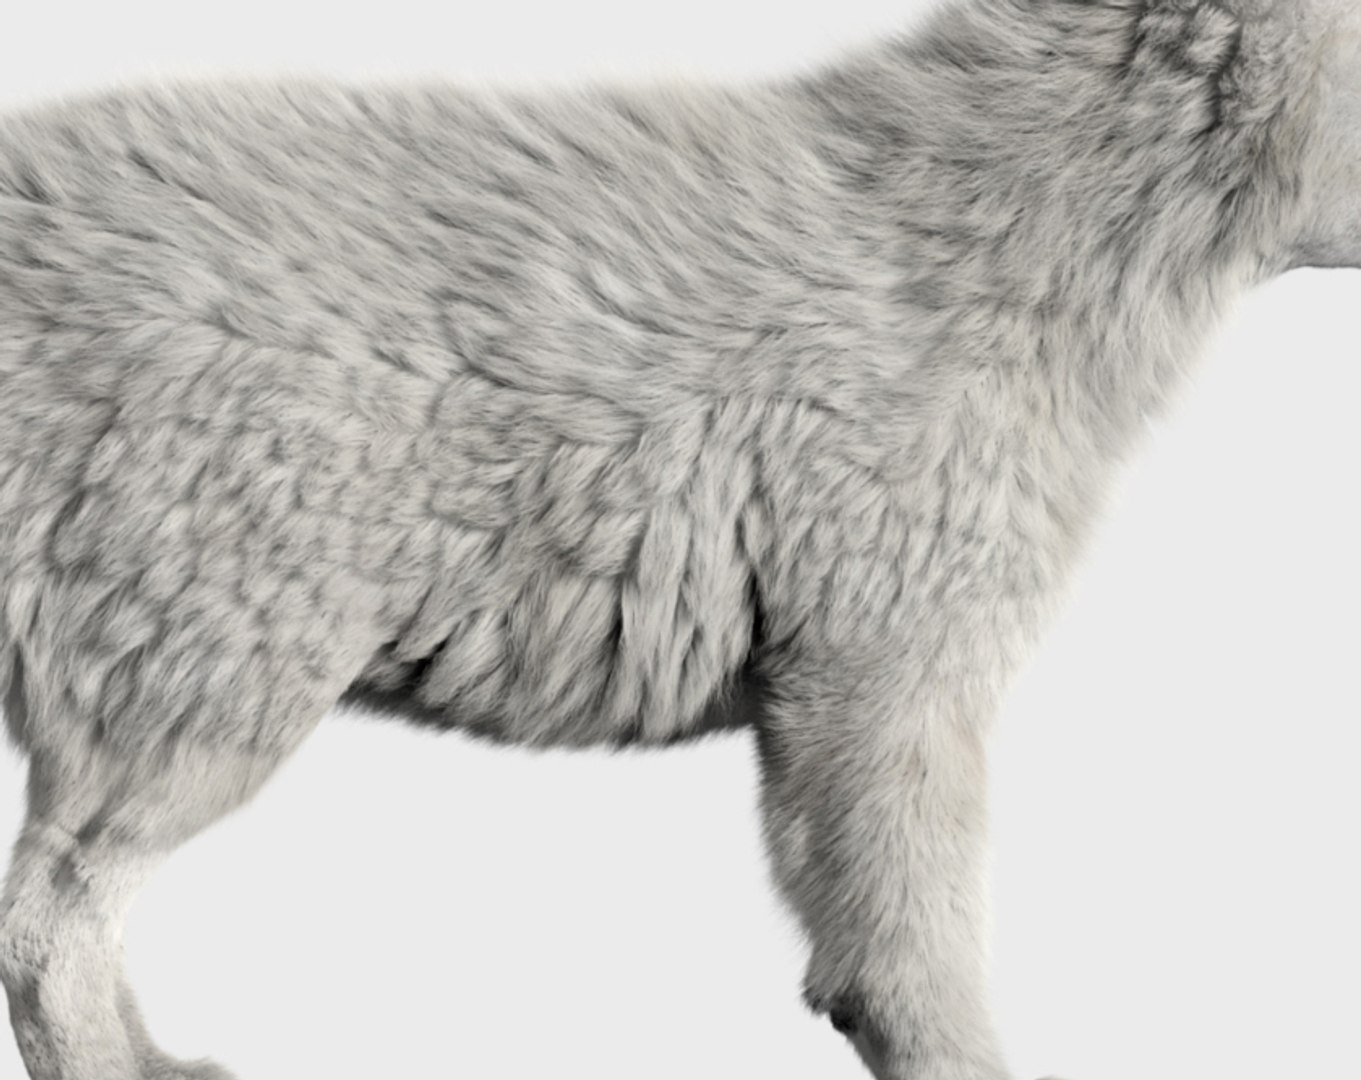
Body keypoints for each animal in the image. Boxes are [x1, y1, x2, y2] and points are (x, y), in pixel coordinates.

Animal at [0, 0, 1357, 1077]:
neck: (1014, 234)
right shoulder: (880, 668)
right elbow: (917, 939)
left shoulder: (825, 691)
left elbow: (853, 927)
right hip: (203, 669)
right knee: (49, 920)